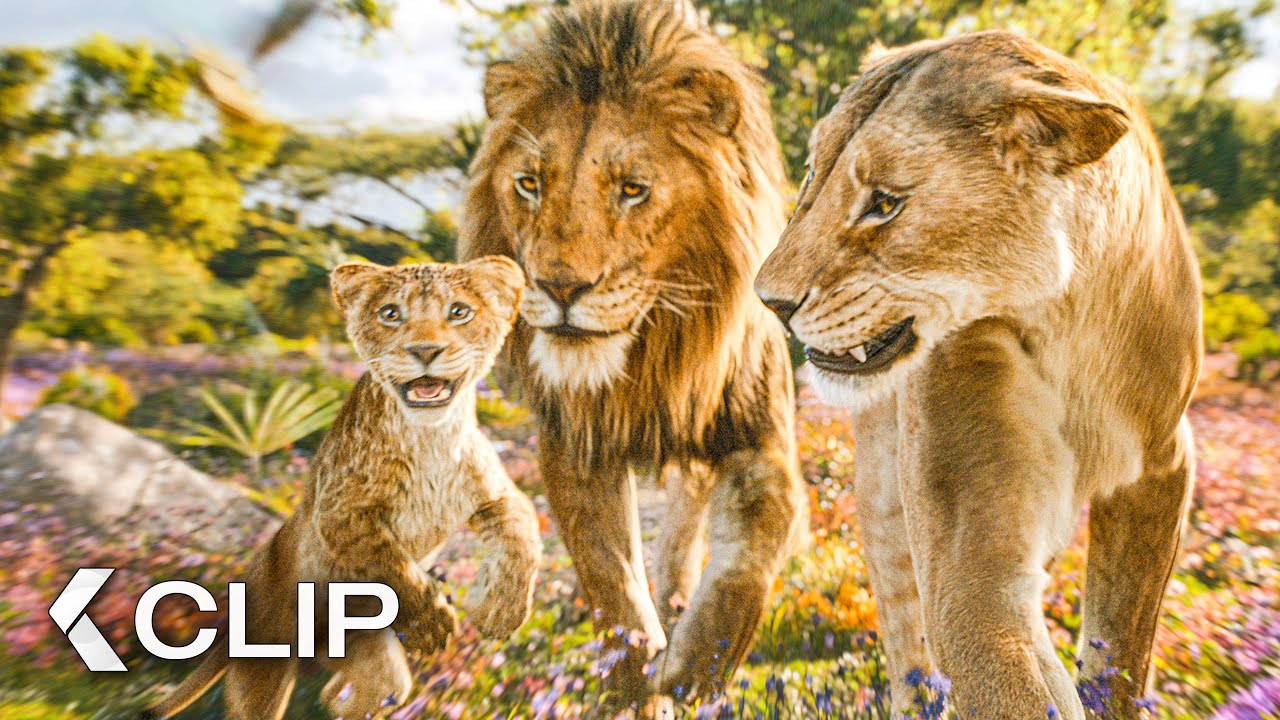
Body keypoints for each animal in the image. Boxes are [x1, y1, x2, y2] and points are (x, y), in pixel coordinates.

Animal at [142, 258, 541, 720]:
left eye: (459, 312)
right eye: (391, 314)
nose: (425, 352)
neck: (432, 437)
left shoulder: (495, 496)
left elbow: (524, 534)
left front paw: (500, 610)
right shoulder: (341, 512)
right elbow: (390, 561)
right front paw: (428, 622)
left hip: (368, 657)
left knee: (356, 693)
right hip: (265, 665)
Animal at [459, 0, 808, 703]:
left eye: (632, 189)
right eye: (529, 184)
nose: (560, 287)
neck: (647, 358)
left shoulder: (764, 442)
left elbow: (749, 561)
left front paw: (696, 669)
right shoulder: (574, 445)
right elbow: (607, 572)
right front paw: (633, 673)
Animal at [754, 31, 1201, 719]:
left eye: (884, 204)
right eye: (812, 175)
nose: (769, 301)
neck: (1066, 319)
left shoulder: (1161, 470)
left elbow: (1121, 653)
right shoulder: (969, 546)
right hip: (882, 500)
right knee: (905, 636)